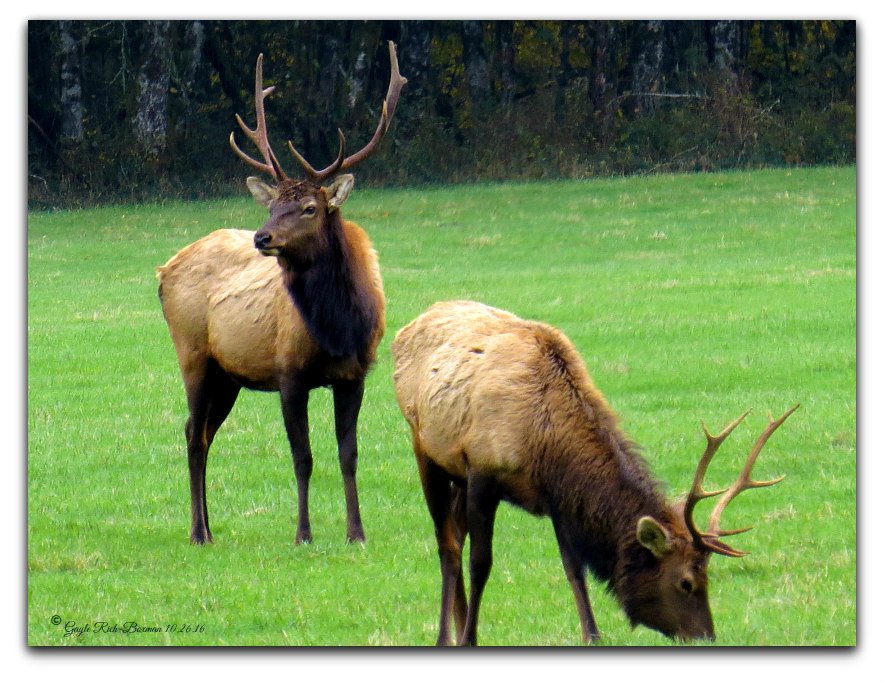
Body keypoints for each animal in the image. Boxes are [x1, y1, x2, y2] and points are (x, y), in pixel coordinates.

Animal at [158, 42, 406, 546]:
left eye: (310, 207)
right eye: (273, 204)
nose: (261, 237)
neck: (338, 328)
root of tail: (163, 272)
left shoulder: (355, 374)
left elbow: (348, 454)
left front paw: (356, 533)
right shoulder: (289, 372)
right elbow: (303, 457)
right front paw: (304, 534)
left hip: (228, 374)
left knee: (206, 432)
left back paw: (210, 528)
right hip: (193, 353)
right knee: (193, 432)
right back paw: (197, 532)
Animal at [391, 300, 796, 645]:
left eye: (709, 577)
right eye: (686, 582)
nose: (706, 636)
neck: (543, 442)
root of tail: (407, 327)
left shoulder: (557, 496)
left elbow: (574, 566)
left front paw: (592, 634)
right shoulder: (482, 471)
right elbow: (481, 562)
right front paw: (471, 639)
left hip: (454, 472)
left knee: (455, 536)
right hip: (425, 449)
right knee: (448, 545)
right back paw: (447, 635)